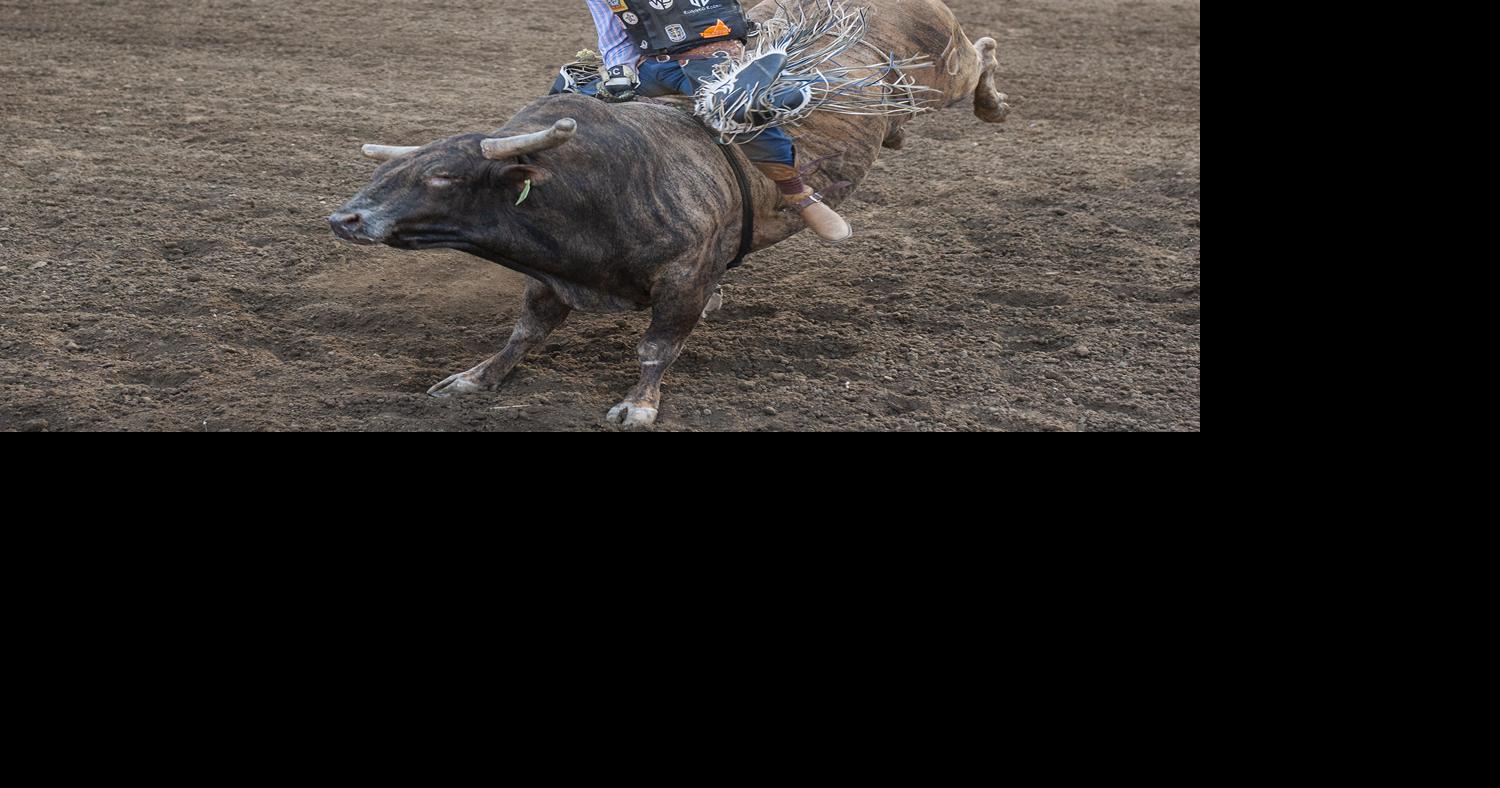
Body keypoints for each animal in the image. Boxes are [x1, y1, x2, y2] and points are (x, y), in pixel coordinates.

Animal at [329, 0, 1008, 427]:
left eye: (443, 176)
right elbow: (526, 331)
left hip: (943, 71)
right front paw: (472, 380)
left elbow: (656, 346)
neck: (597, 185)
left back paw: (993, 102)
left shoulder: (684, 275)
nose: (345, 220)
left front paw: (638, 406)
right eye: (384, 174)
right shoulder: (549, 274)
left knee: (981, 52)